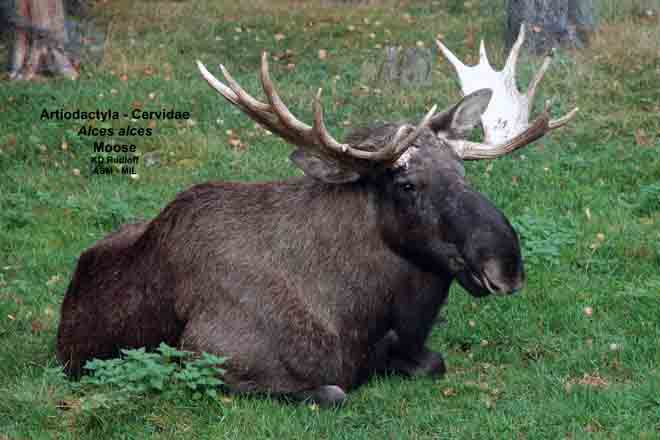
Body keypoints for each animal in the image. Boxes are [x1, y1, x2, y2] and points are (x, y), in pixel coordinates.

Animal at [57, 27, 577, 406]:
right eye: (406, 184)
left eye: (462, 171)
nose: (505, 263)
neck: (356, 314)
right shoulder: (210, 357)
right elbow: (331, 392)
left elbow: (433, 362)